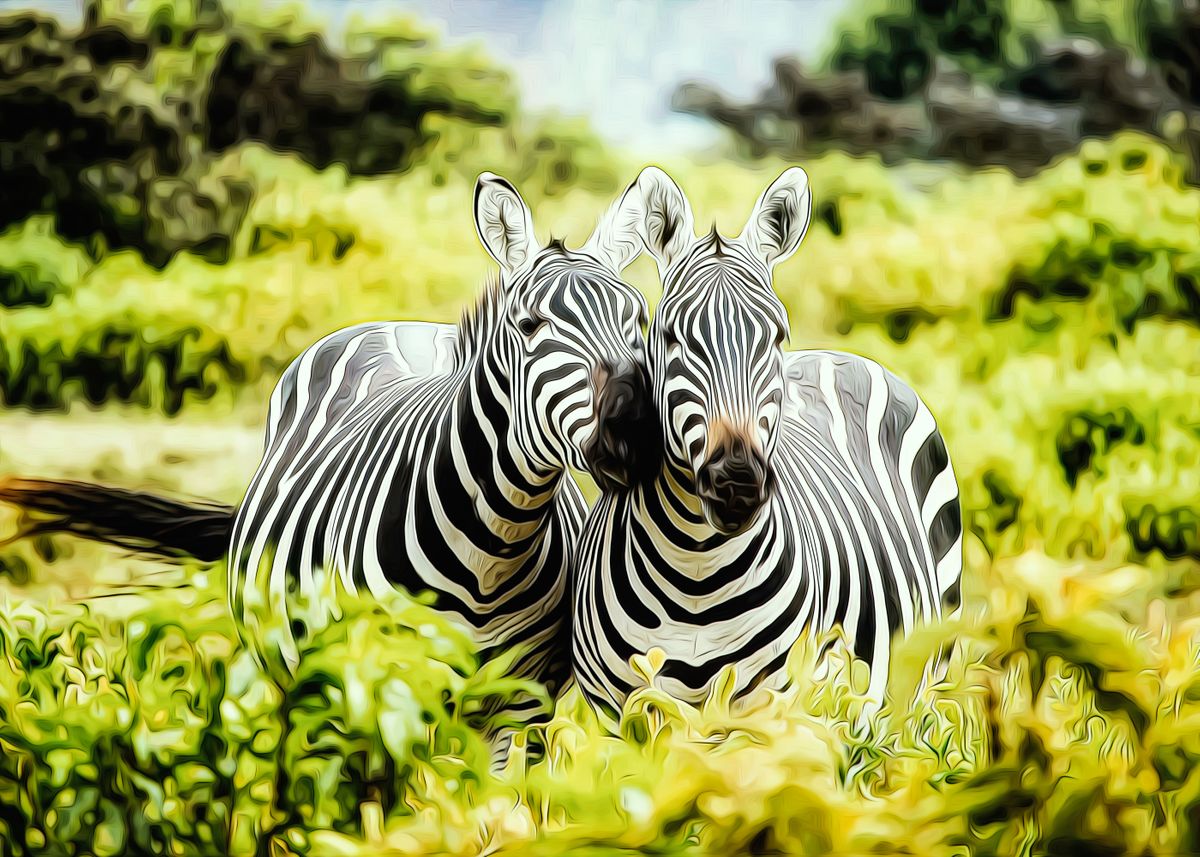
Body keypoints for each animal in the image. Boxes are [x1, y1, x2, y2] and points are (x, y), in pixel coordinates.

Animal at [571, 166, 963, 725]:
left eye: (776, 336)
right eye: (669, 336)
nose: (736, 482)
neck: (697, 572)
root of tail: (838, 354)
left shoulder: (776, 710)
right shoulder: (622, 713)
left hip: (924, 678)